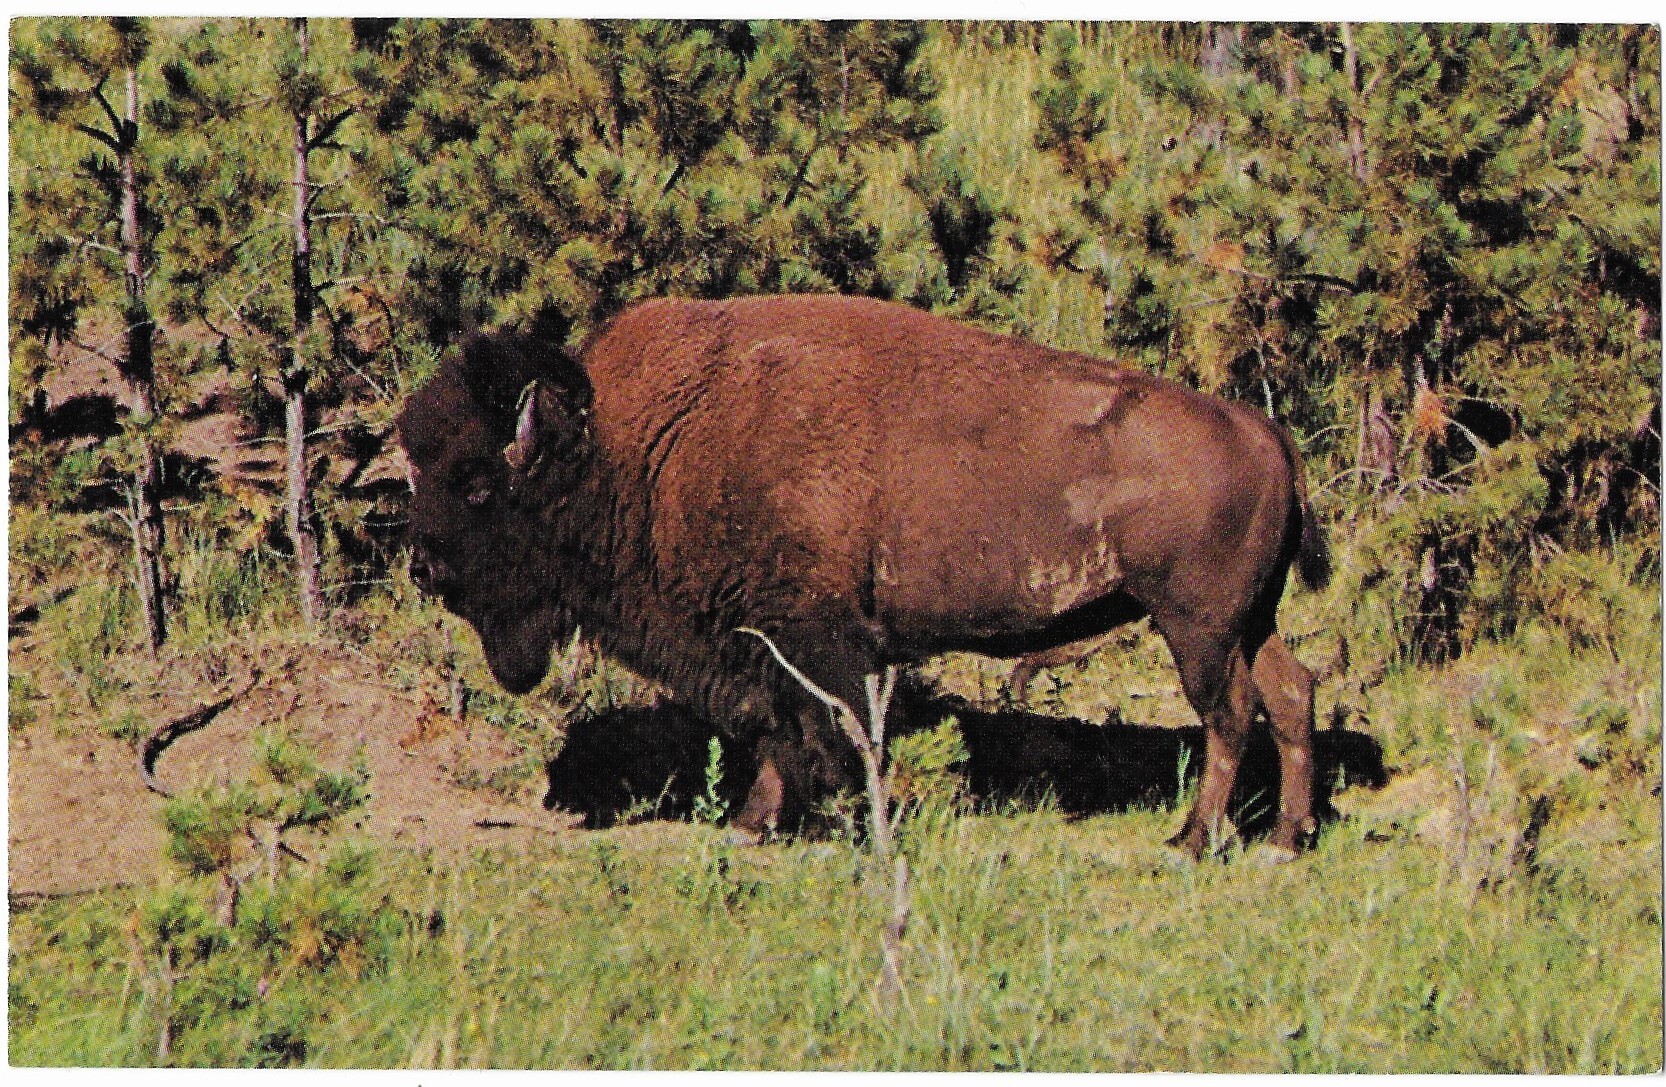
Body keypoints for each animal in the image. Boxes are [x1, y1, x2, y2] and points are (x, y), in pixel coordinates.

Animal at [398, 294, 1331, 858]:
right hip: (1250, 621)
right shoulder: (770, 645)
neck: (640, 445)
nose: (425, 565)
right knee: (1290, 693)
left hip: (1195, 625)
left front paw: (846, 822)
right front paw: (753, 824)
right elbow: (783, 733)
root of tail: (1263, 431)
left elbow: (830, 732)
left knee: (1229, 712)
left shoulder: (814, 641)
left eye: (476, 482)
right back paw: (1286, 837)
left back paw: (1192, 840)